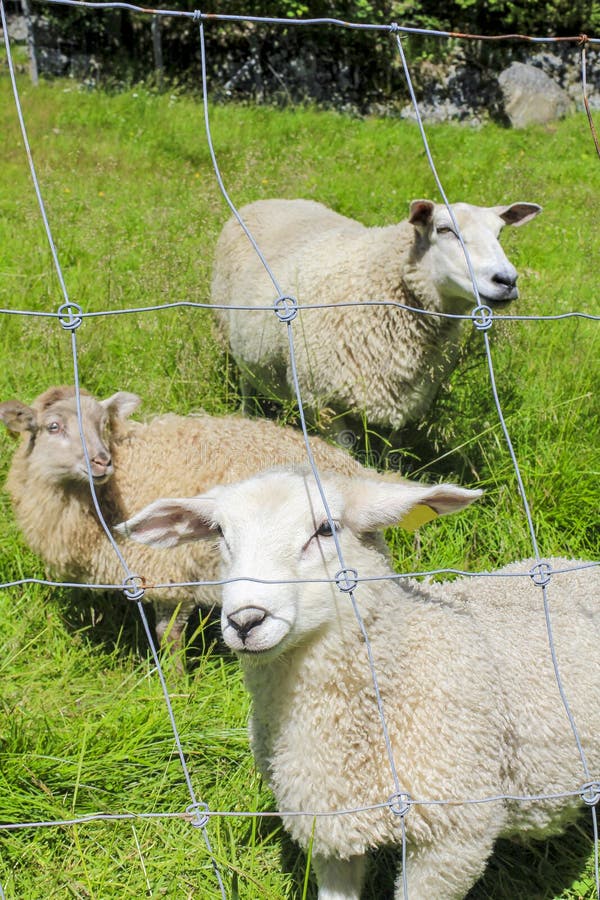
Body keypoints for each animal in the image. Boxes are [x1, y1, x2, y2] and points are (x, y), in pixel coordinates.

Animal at [0, 386, 368, 654]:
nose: (102, 461)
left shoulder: (168, 572)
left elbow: (168, 635)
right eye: (53, 427)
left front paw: (177, 688)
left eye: (101, 424)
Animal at [210, 198, 542, 439]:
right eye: (445, 229)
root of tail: (269, 199)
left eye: (499, 233)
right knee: (246, 385)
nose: (507, 280)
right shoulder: (320, 400)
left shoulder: (406, 403)